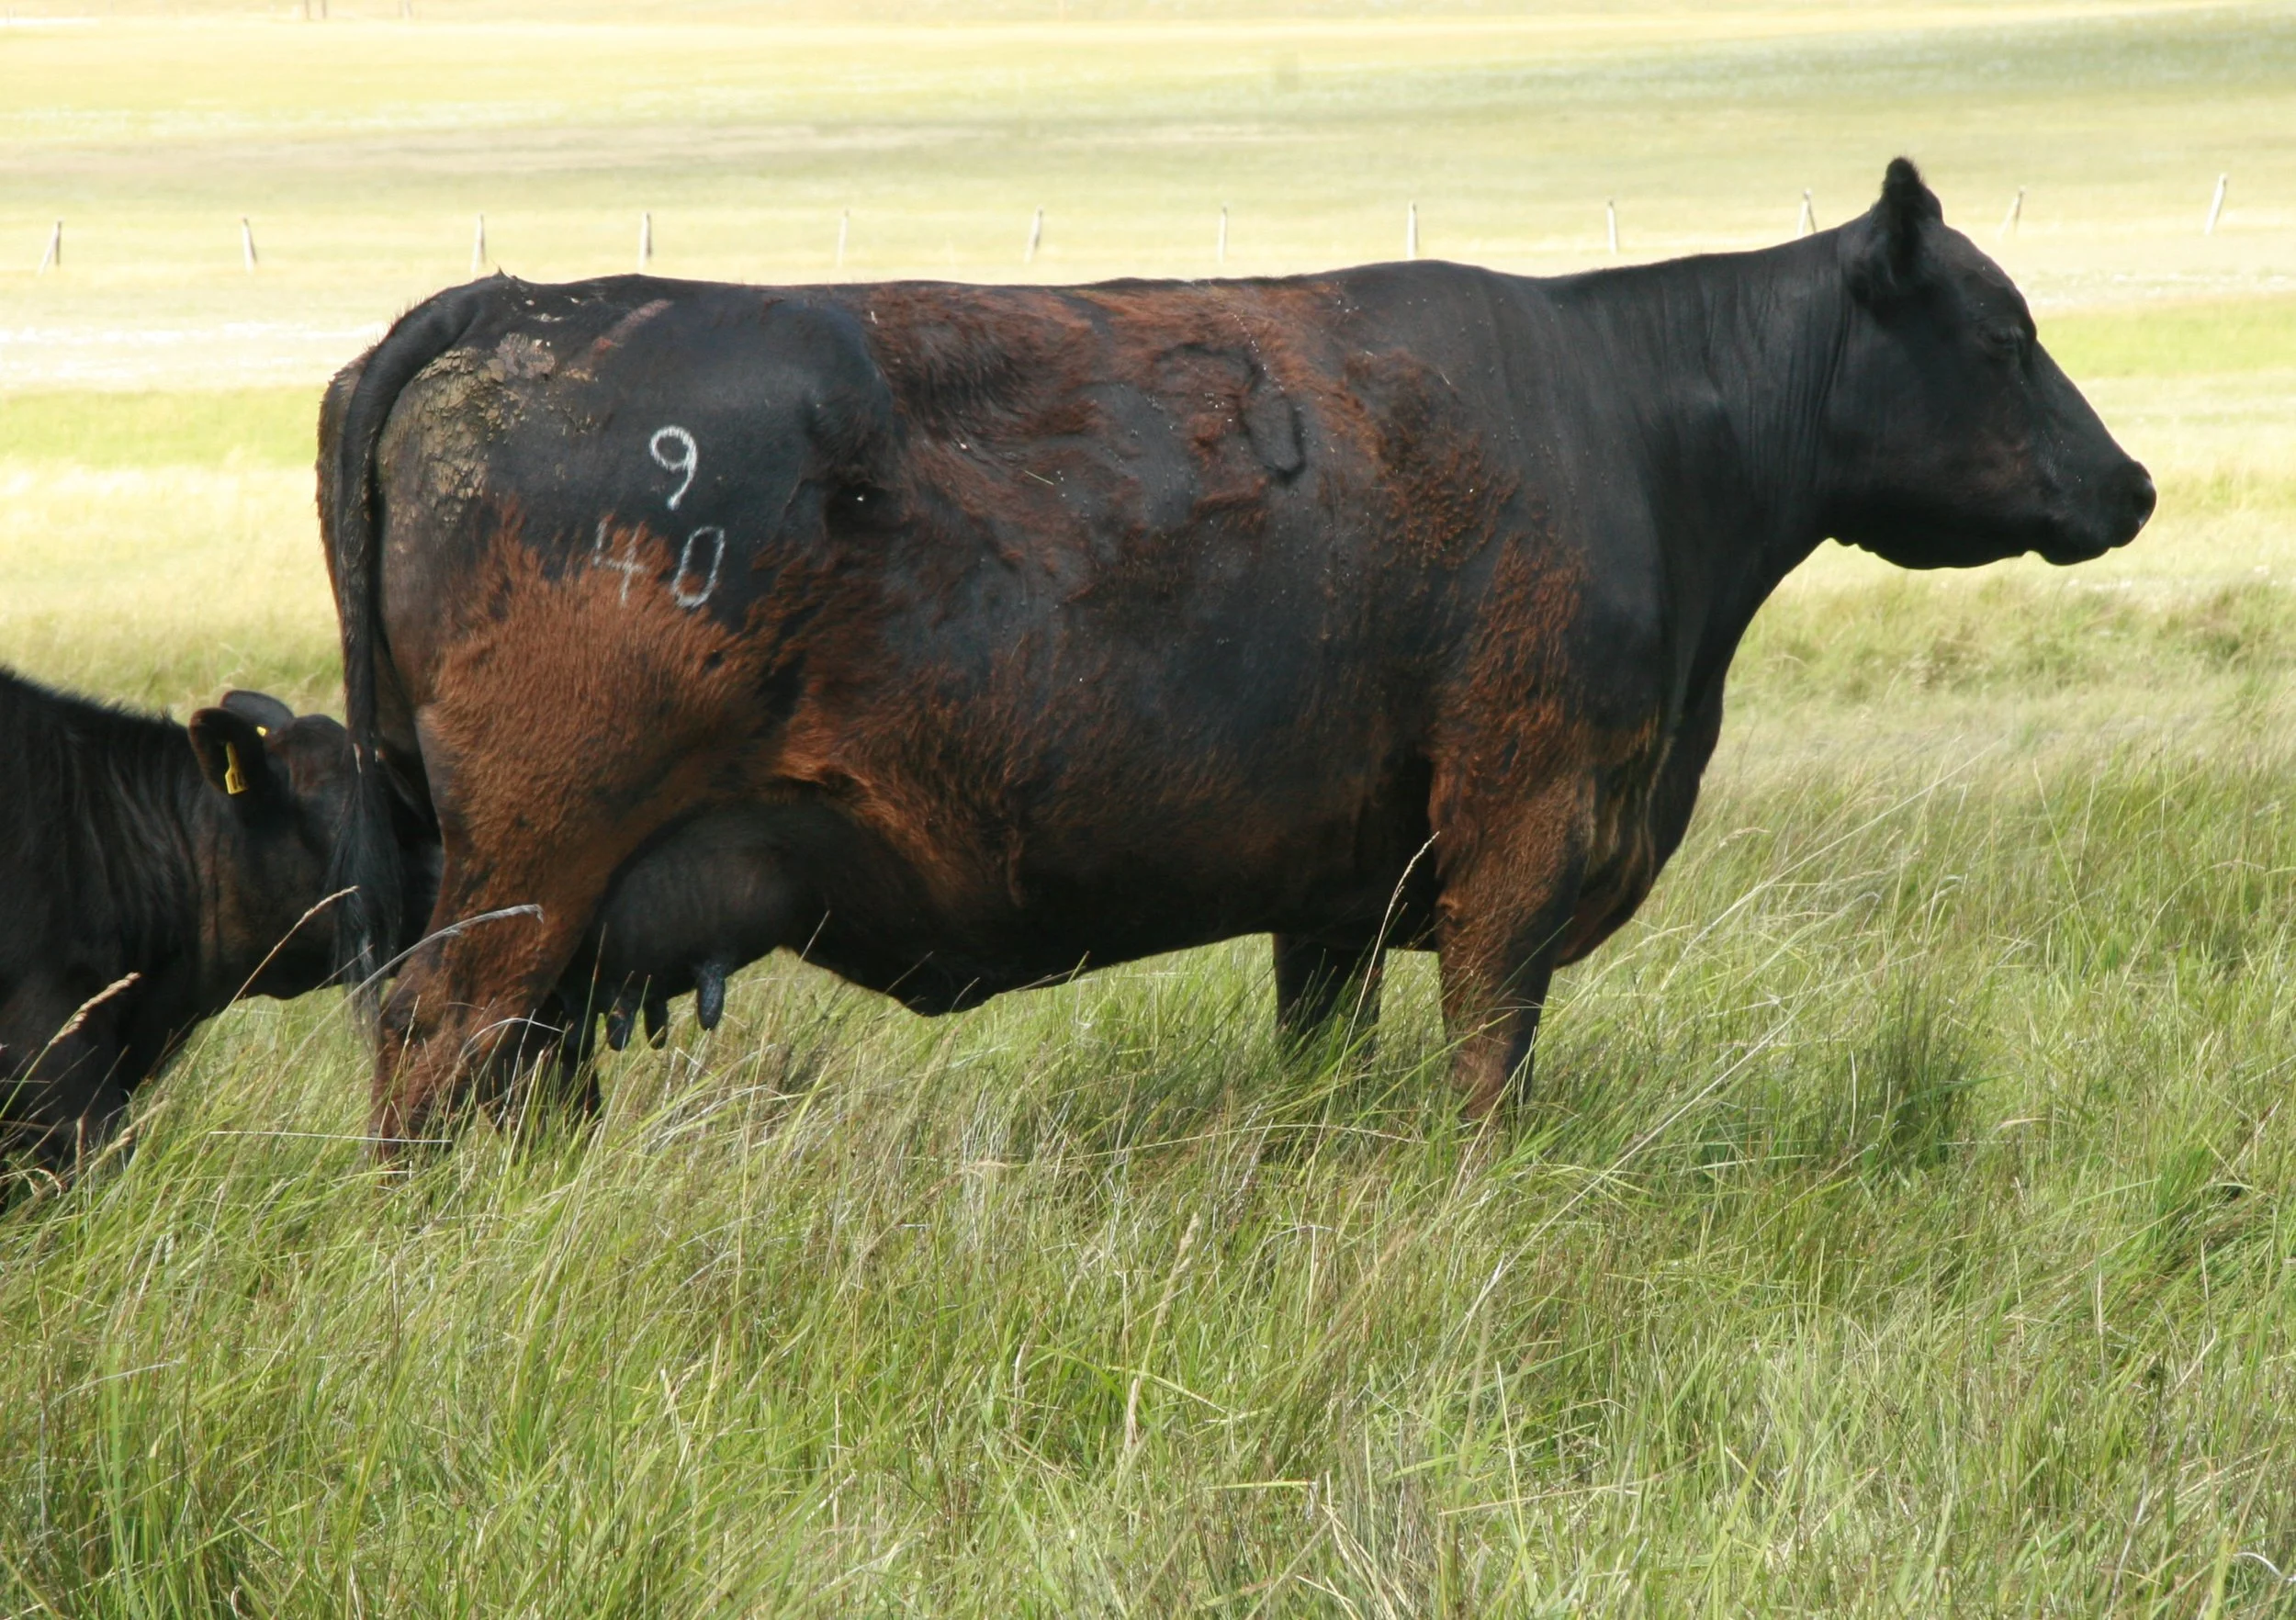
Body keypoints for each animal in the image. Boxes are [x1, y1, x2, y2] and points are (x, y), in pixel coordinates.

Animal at [320, 158, 2153, 1151]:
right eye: (2005, 335)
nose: (2130, 484)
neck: (1632, 422)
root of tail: (513, 305)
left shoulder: (1335, 886)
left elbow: (1323, 1059)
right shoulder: (1523, 816)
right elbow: (1492, 1052)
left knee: (512, 1062)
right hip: (534, 855)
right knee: (434, 1036)